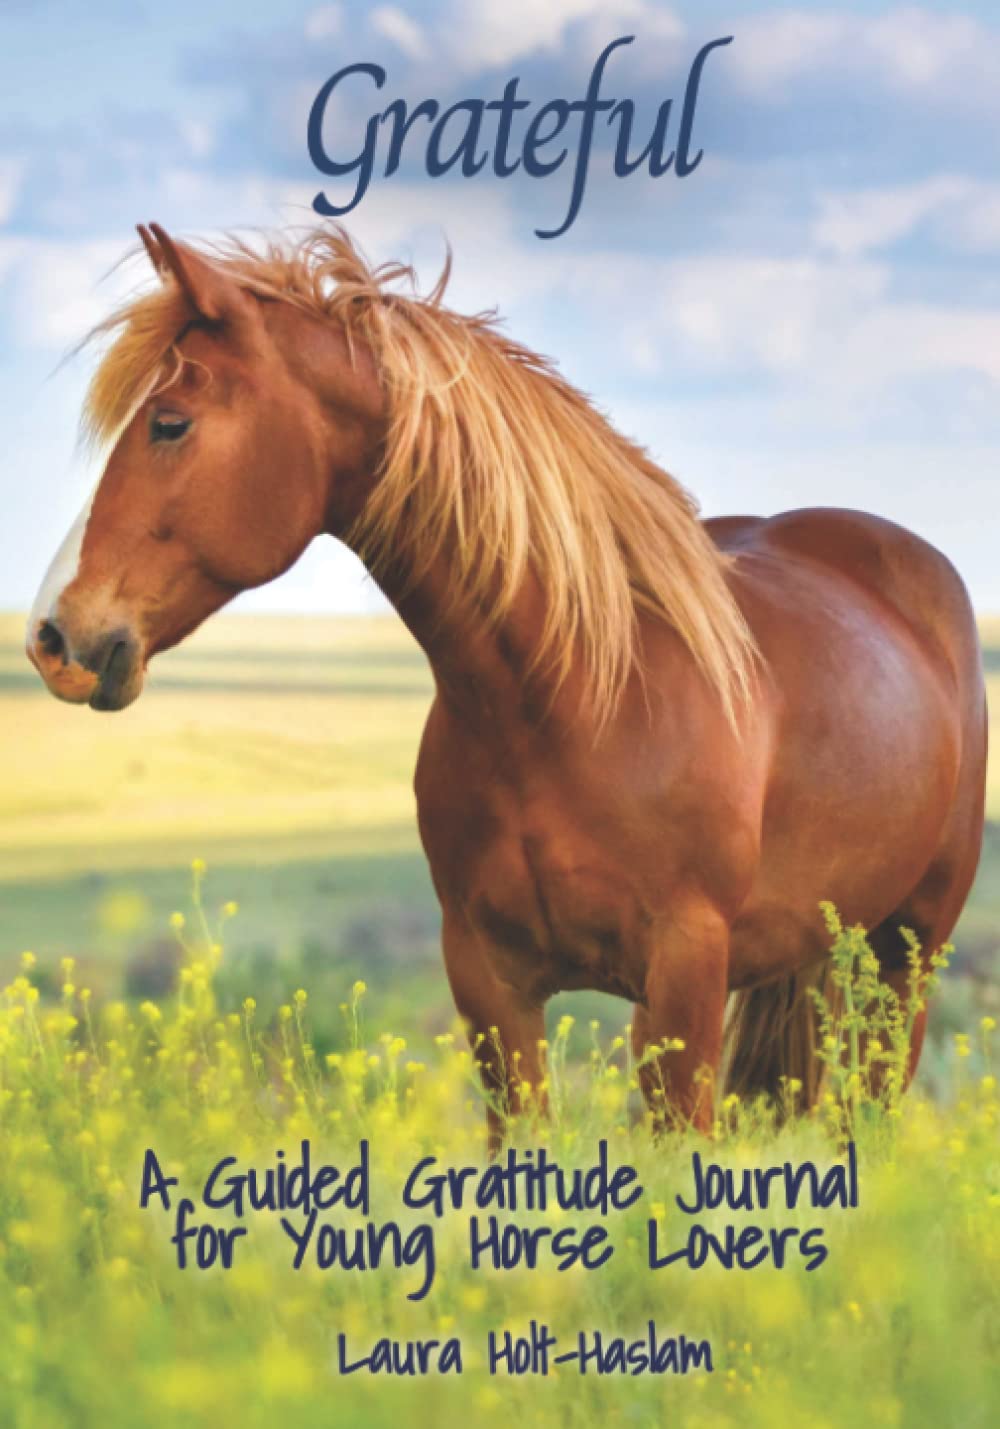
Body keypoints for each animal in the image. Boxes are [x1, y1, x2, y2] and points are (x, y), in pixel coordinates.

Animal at [27, 223, 987, 1147]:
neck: (575, 703)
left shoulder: (684, 979)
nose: (51, 636)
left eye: (170, 423)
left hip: (906, 957)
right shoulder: (490, 984)